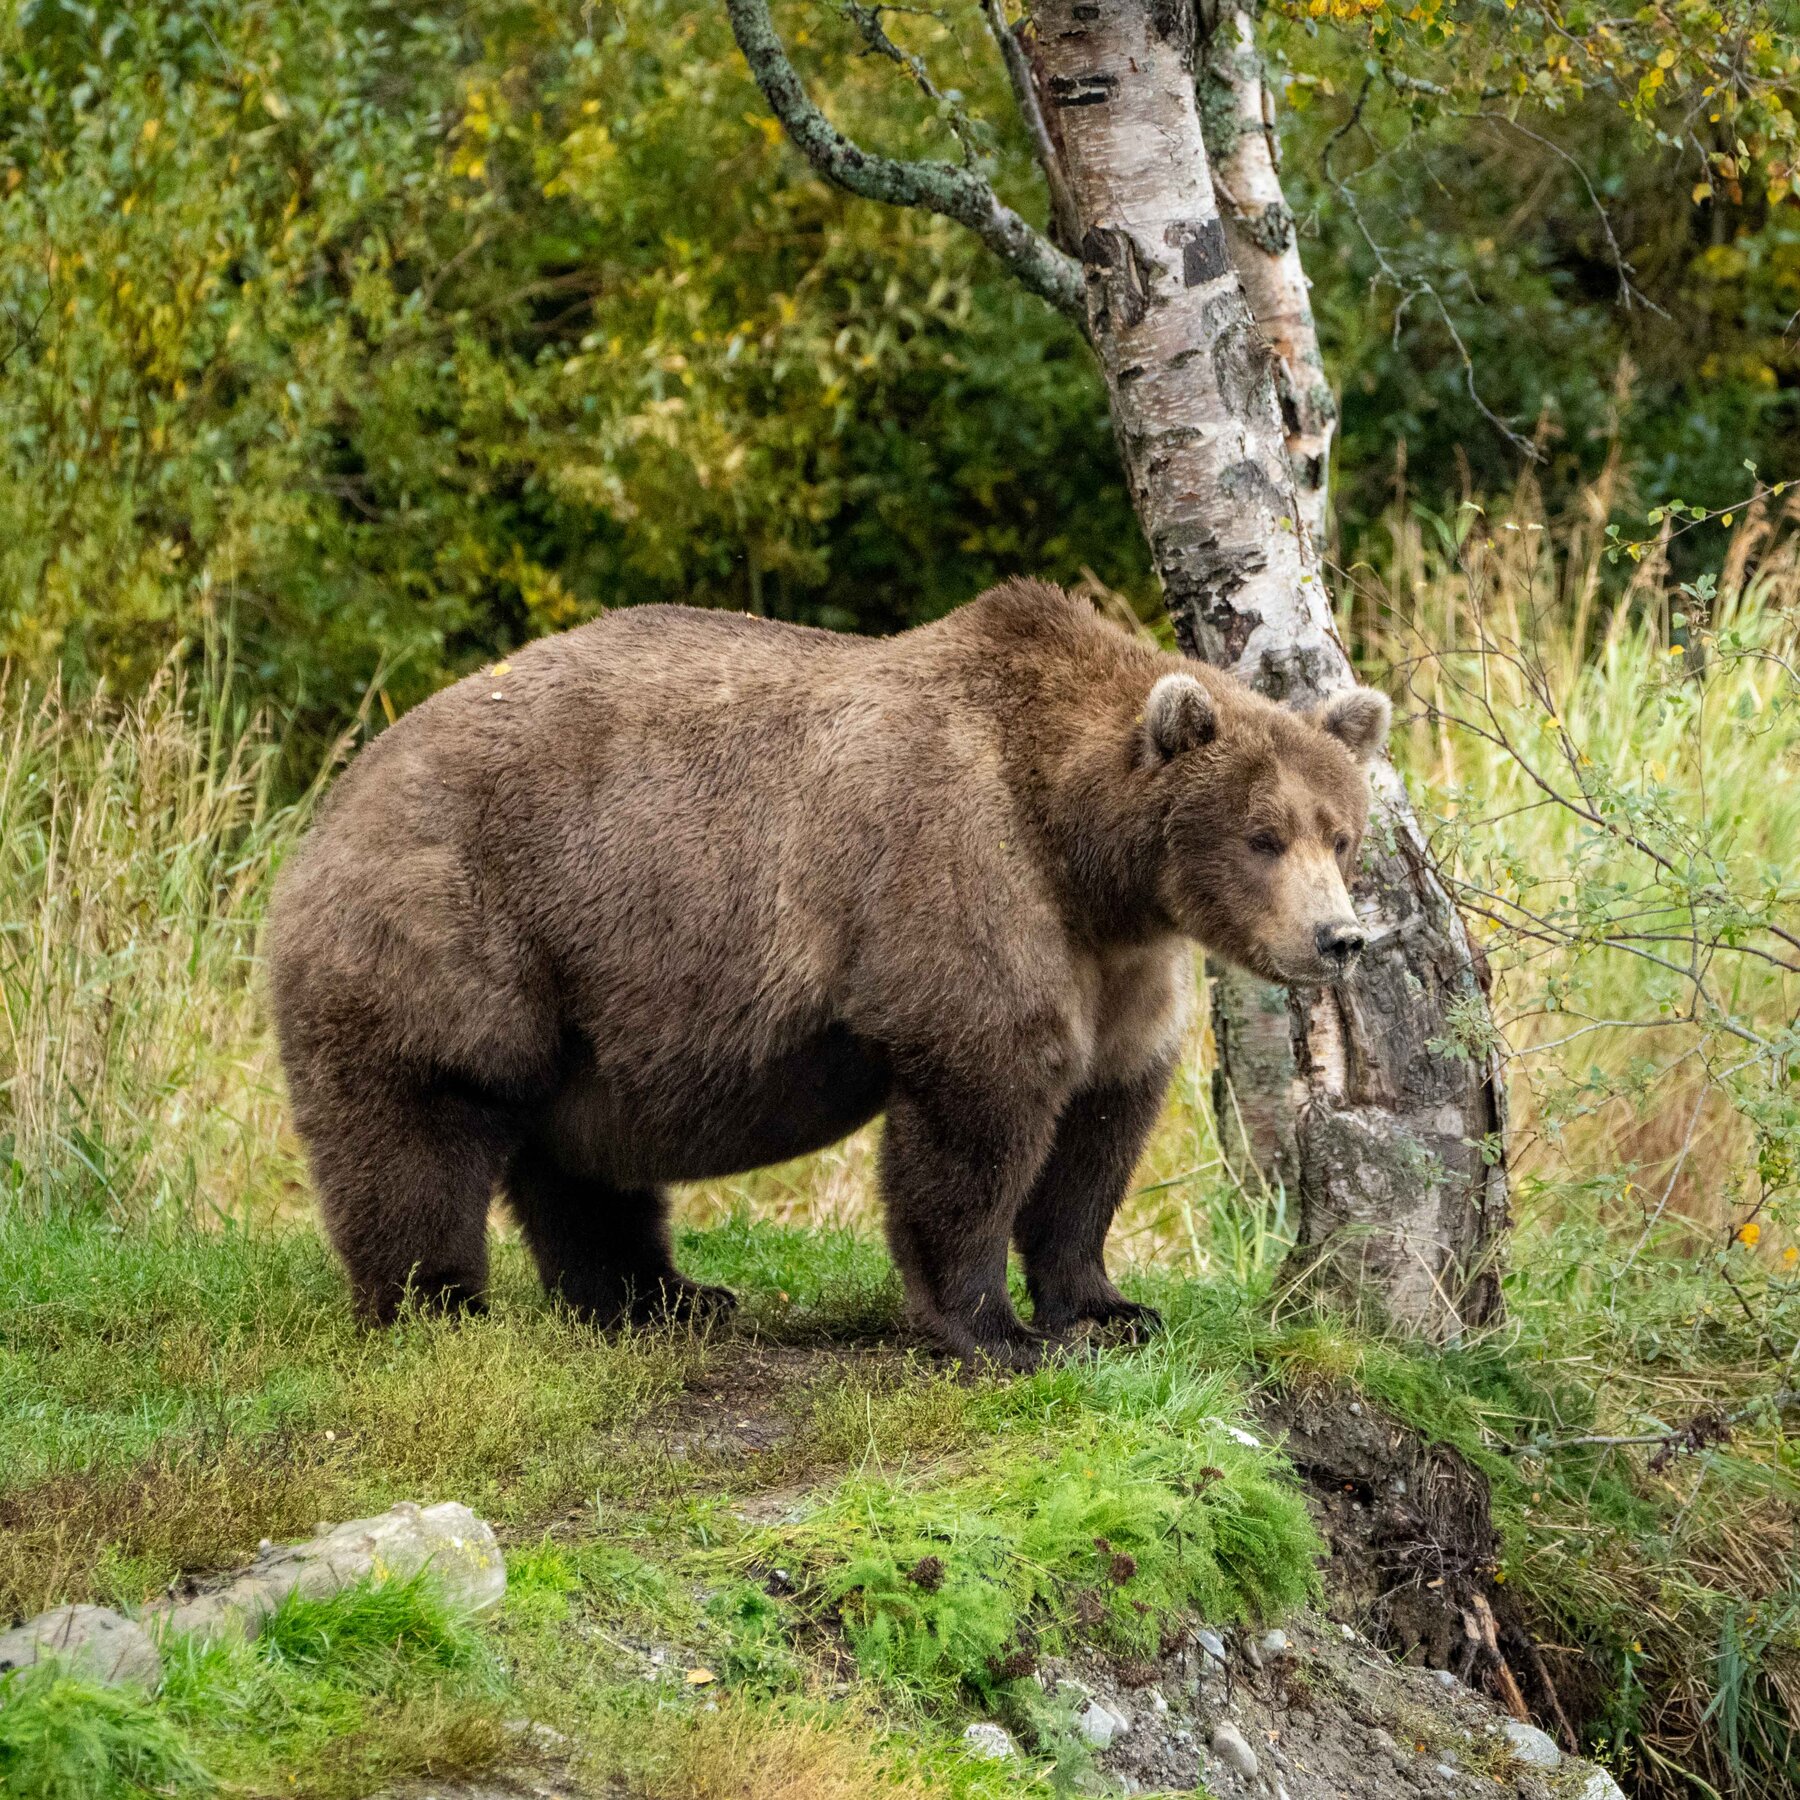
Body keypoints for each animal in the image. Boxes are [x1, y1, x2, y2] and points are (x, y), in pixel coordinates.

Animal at [268, 579, 1390, 1366]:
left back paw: (666, 1297)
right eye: (1262, 836)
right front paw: (998, 1331)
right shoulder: (959, 874)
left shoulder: (1123, 966)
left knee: (580, 1155)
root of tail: (332, 803)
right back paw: (439, 1307)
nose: (1339, 938)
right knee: (418, 1124)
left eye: (1341, 832)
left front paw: (1110, 1309)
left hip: (587, 996)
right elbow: (979, 1115)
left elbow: (1101, 1126)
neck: (1086, 858)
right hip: (458, 925)